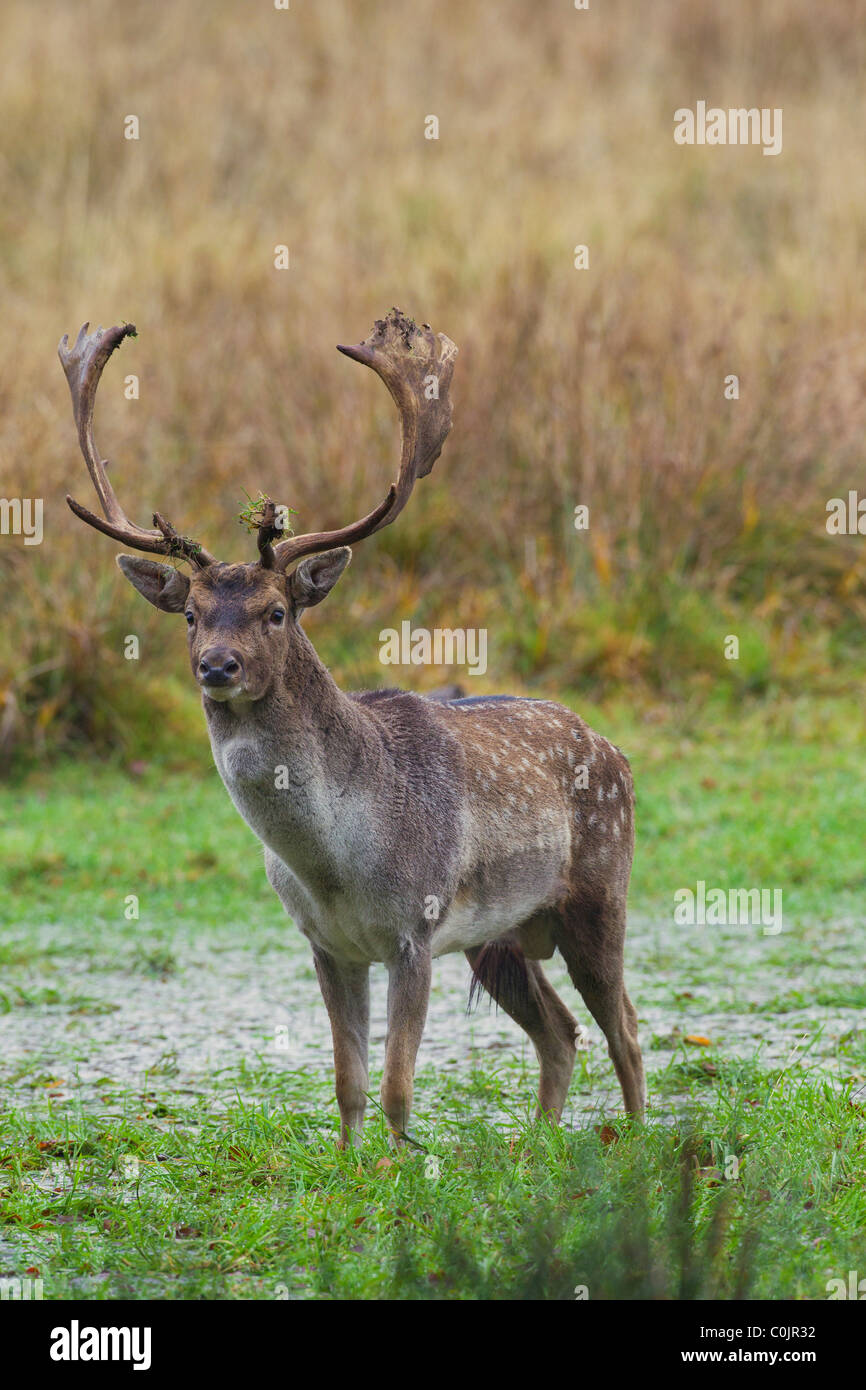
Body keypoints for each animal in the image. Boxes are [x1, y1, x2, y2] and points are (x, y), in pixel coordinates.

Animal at [59, 309, 645, 1146]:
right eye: (192, 615)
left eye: (275, 611)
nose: (217, 665)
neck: (335, 865)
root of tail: (614, 749)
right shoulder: (327, 945)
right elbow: (348, 1081)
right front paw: (348, 1161)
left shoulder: (415, 931)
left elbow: (399, 1084)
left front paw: (401, 1164)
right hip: (500, 935)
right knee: (561, 1029)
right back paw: (537, 1148)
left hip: (600, 891)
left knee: (624, 1025)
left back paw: (636, 1139)